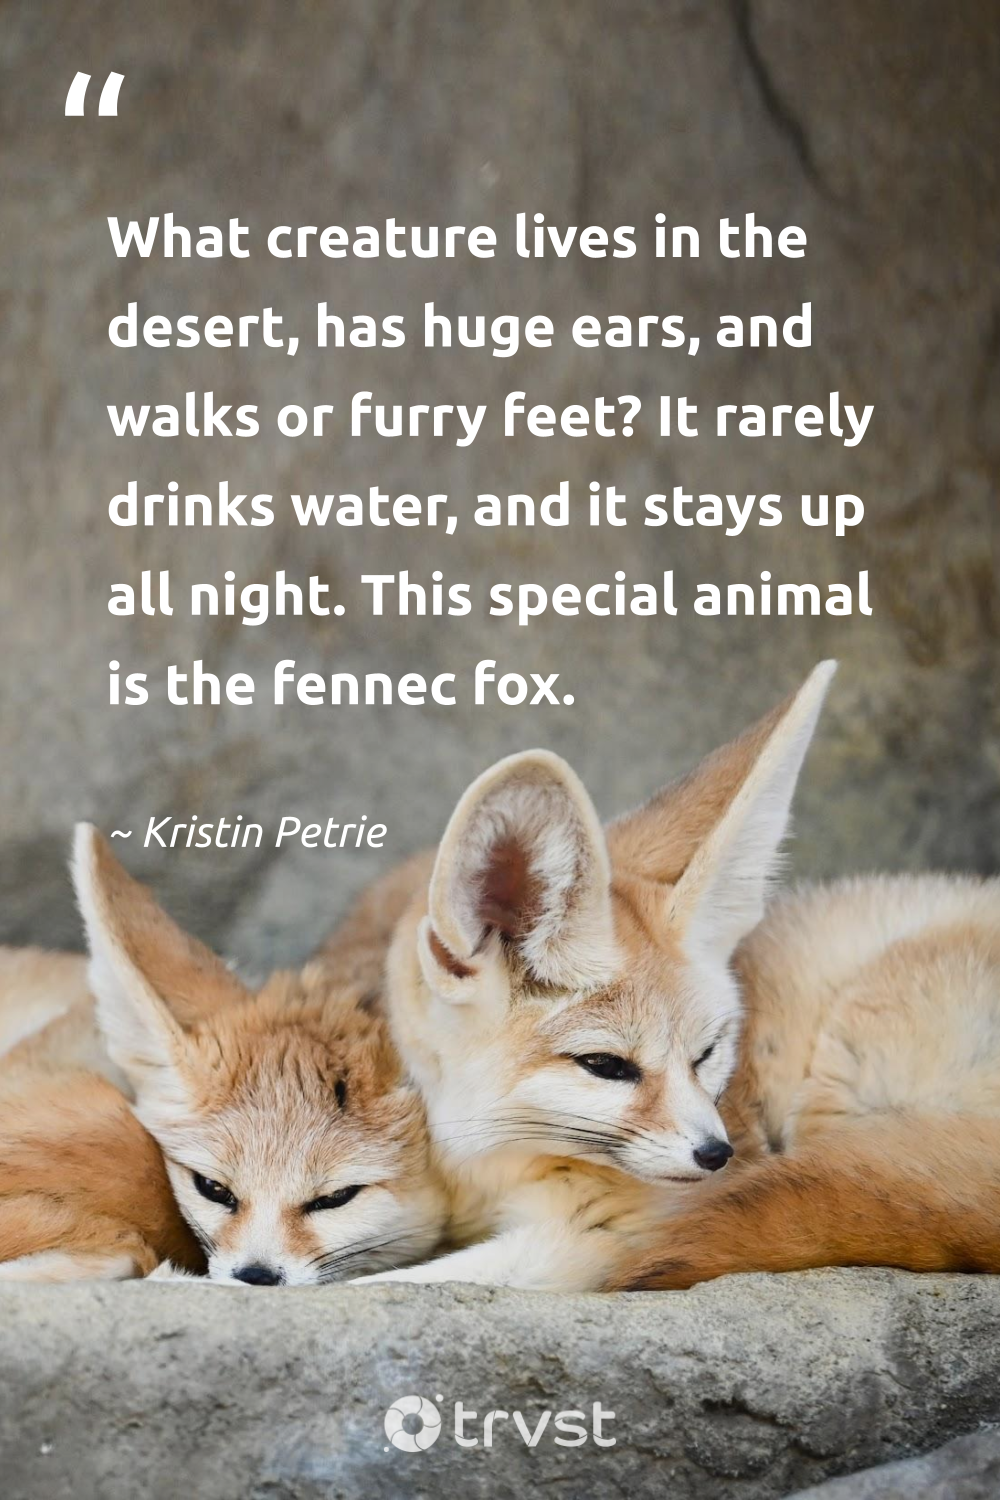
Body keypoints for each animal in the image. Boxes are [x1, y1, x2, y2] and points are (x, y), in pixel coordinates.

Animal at [343, 660, 1000, 1291]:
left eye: (706, 1053)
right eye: (606, 1065)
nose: (718, 1155)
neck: (490, 1162)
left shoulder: (589, 1240)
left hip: (841, 1063)